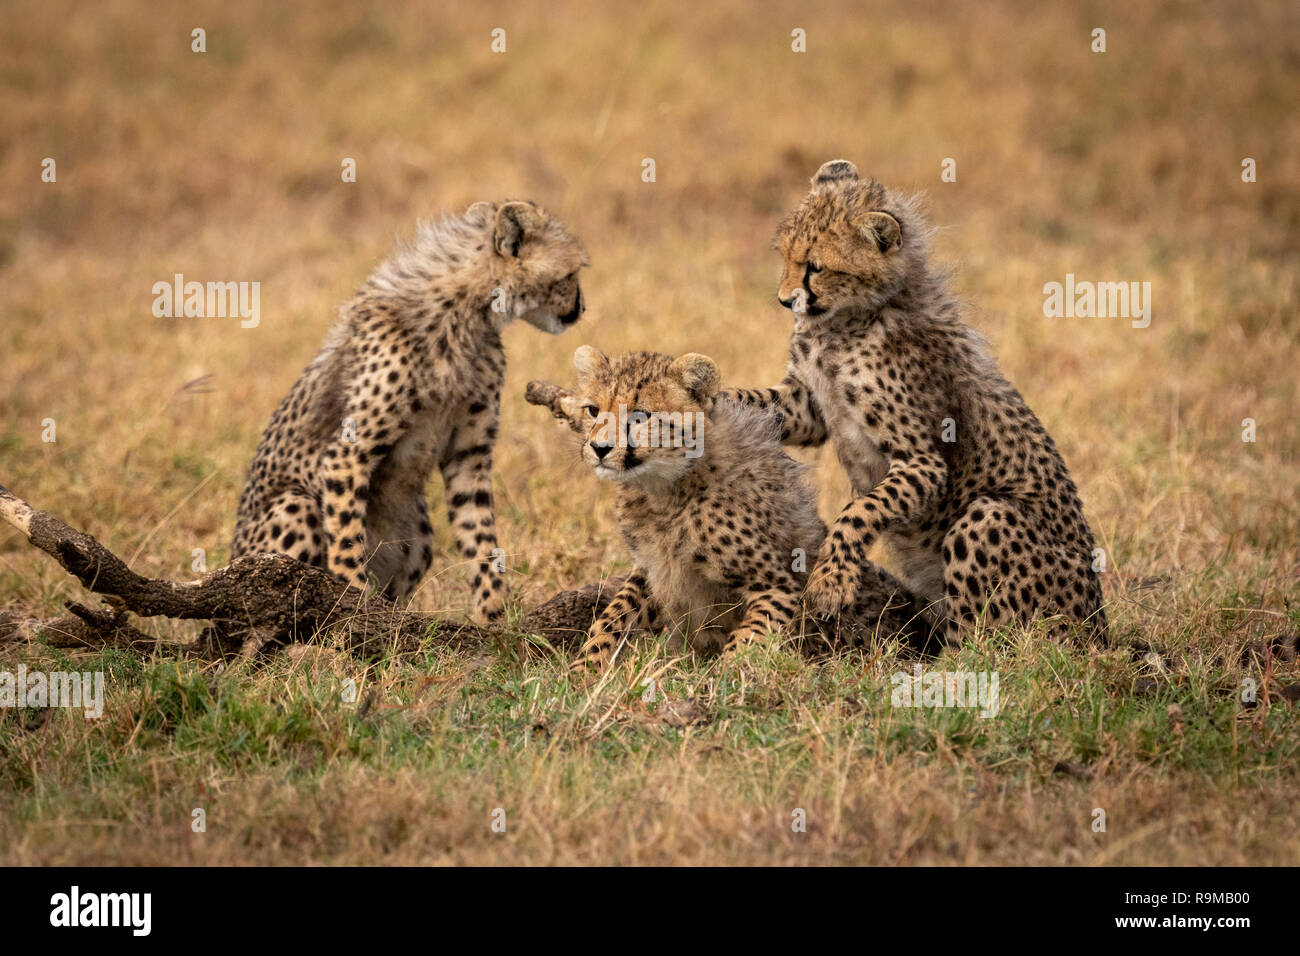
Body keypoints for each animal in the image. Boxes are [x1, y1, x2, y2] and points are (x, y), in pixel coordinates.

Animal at [231, 199, 588, 625]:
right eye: (571, 273)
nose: (581, 308)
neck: (467, 314)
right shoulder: (348, 452)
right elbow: (346, 542)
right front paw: (356, 611)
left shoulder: (468, 455)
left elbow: (482, 537)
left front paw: (494, 619)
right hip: (294, 508)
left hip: (418, 533)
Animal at [726, 160, 1107, 644]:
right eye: (786, 255)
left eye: (815, 267)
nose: (782, 300)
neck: (847, 320)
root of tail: (1098, 623)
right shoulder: (807, 406)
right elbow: (754, 401)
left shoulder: (923, 463)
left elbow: (860, 510)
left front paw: (830, 581)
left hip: (988, 516)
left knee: (987, 640)